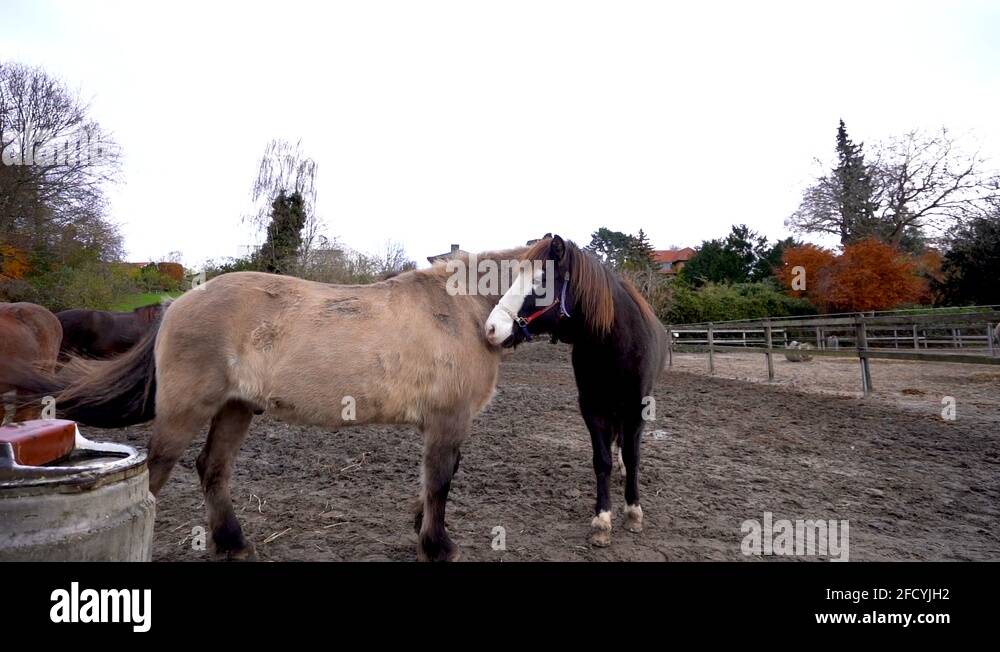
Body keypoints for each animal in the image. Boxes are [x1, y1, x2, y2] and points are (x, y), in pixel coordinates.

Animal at [1, 249, 526, 561]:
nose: (499, 330)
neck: (459, 310)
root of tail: (179, 303)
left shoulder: (441, 427)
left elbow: (432, 482)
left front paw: (422, 528)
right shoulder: (448, 421)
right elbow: (440, 483)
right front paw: (437, 545)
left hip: (235, 408)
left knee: (212, 469)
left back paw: (231, 543)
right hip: (185, 412)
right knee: (155, 473)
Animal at [485, 235, 667, 547]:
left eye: (541, 280)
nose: (492, 328)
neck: (613, 343)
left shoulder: (636, 408)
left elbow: (633, 458)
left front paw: (633, 512)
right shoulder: (592, 408)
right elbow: (602, 461)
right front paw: (602, 521)